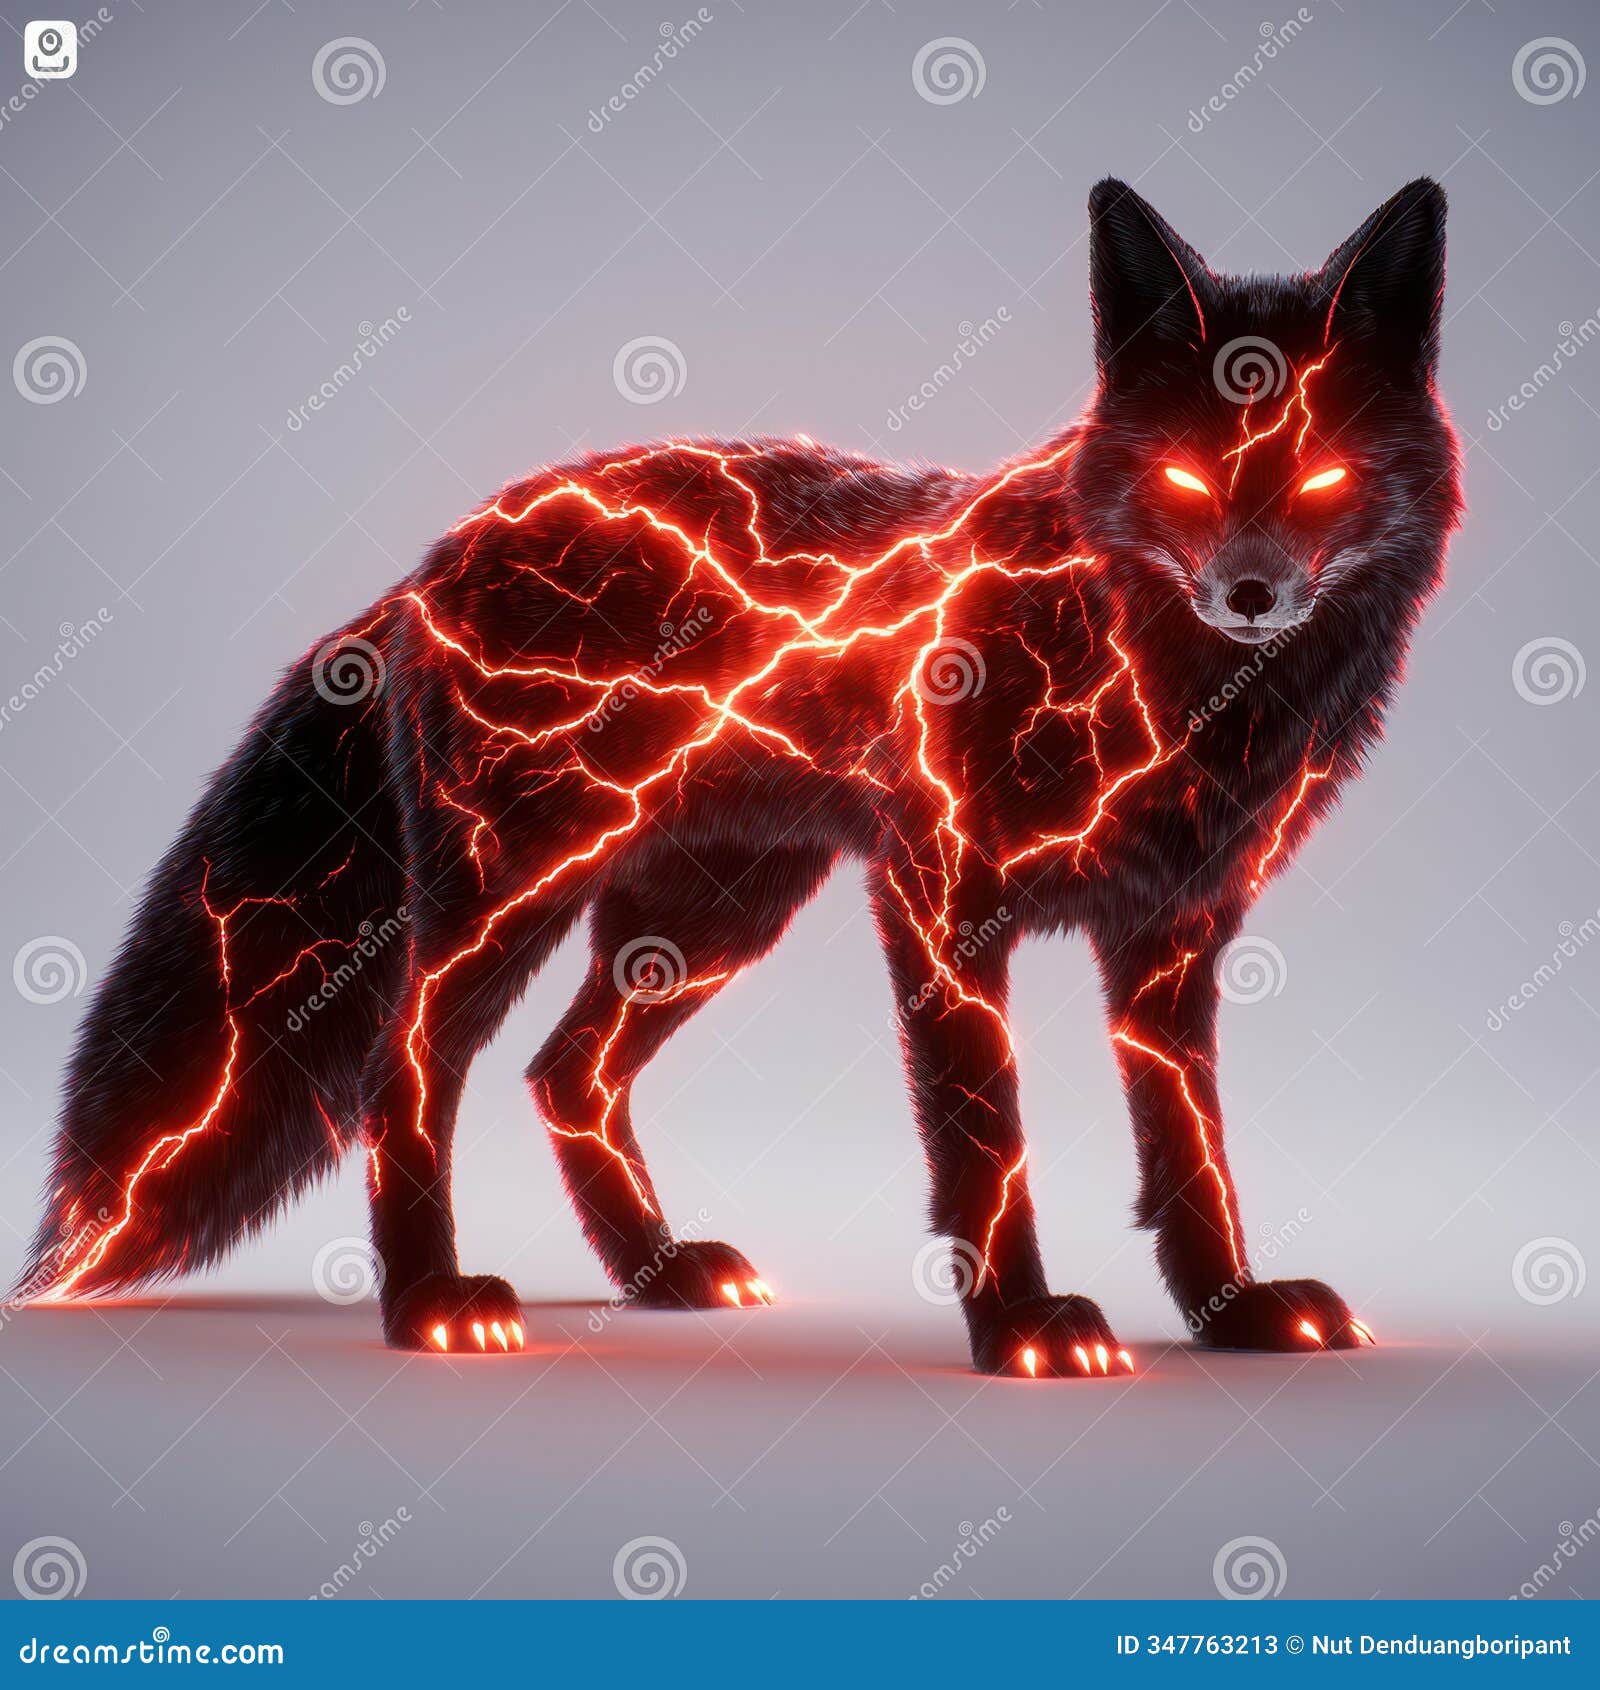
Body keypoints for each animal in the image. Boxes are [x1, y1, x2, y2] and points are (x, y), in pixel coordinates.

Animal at [21, 178, 1460, 1377]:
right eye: (1181, 475)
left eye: (1324, 475)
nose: (1251, 591)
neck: (1177, 699)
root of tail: (434, 559)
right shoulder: (943, 896)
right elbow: (986, 1141)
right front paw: (1022, 1329)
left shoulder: (1172, 935)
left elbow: (1191, 1154)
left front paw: (1230, 1309)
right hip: (511, 894)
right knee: (404, 1065)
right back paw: (430, 1303)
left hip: (706, 917)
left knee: (566, 1071)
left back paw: (655, 1272)